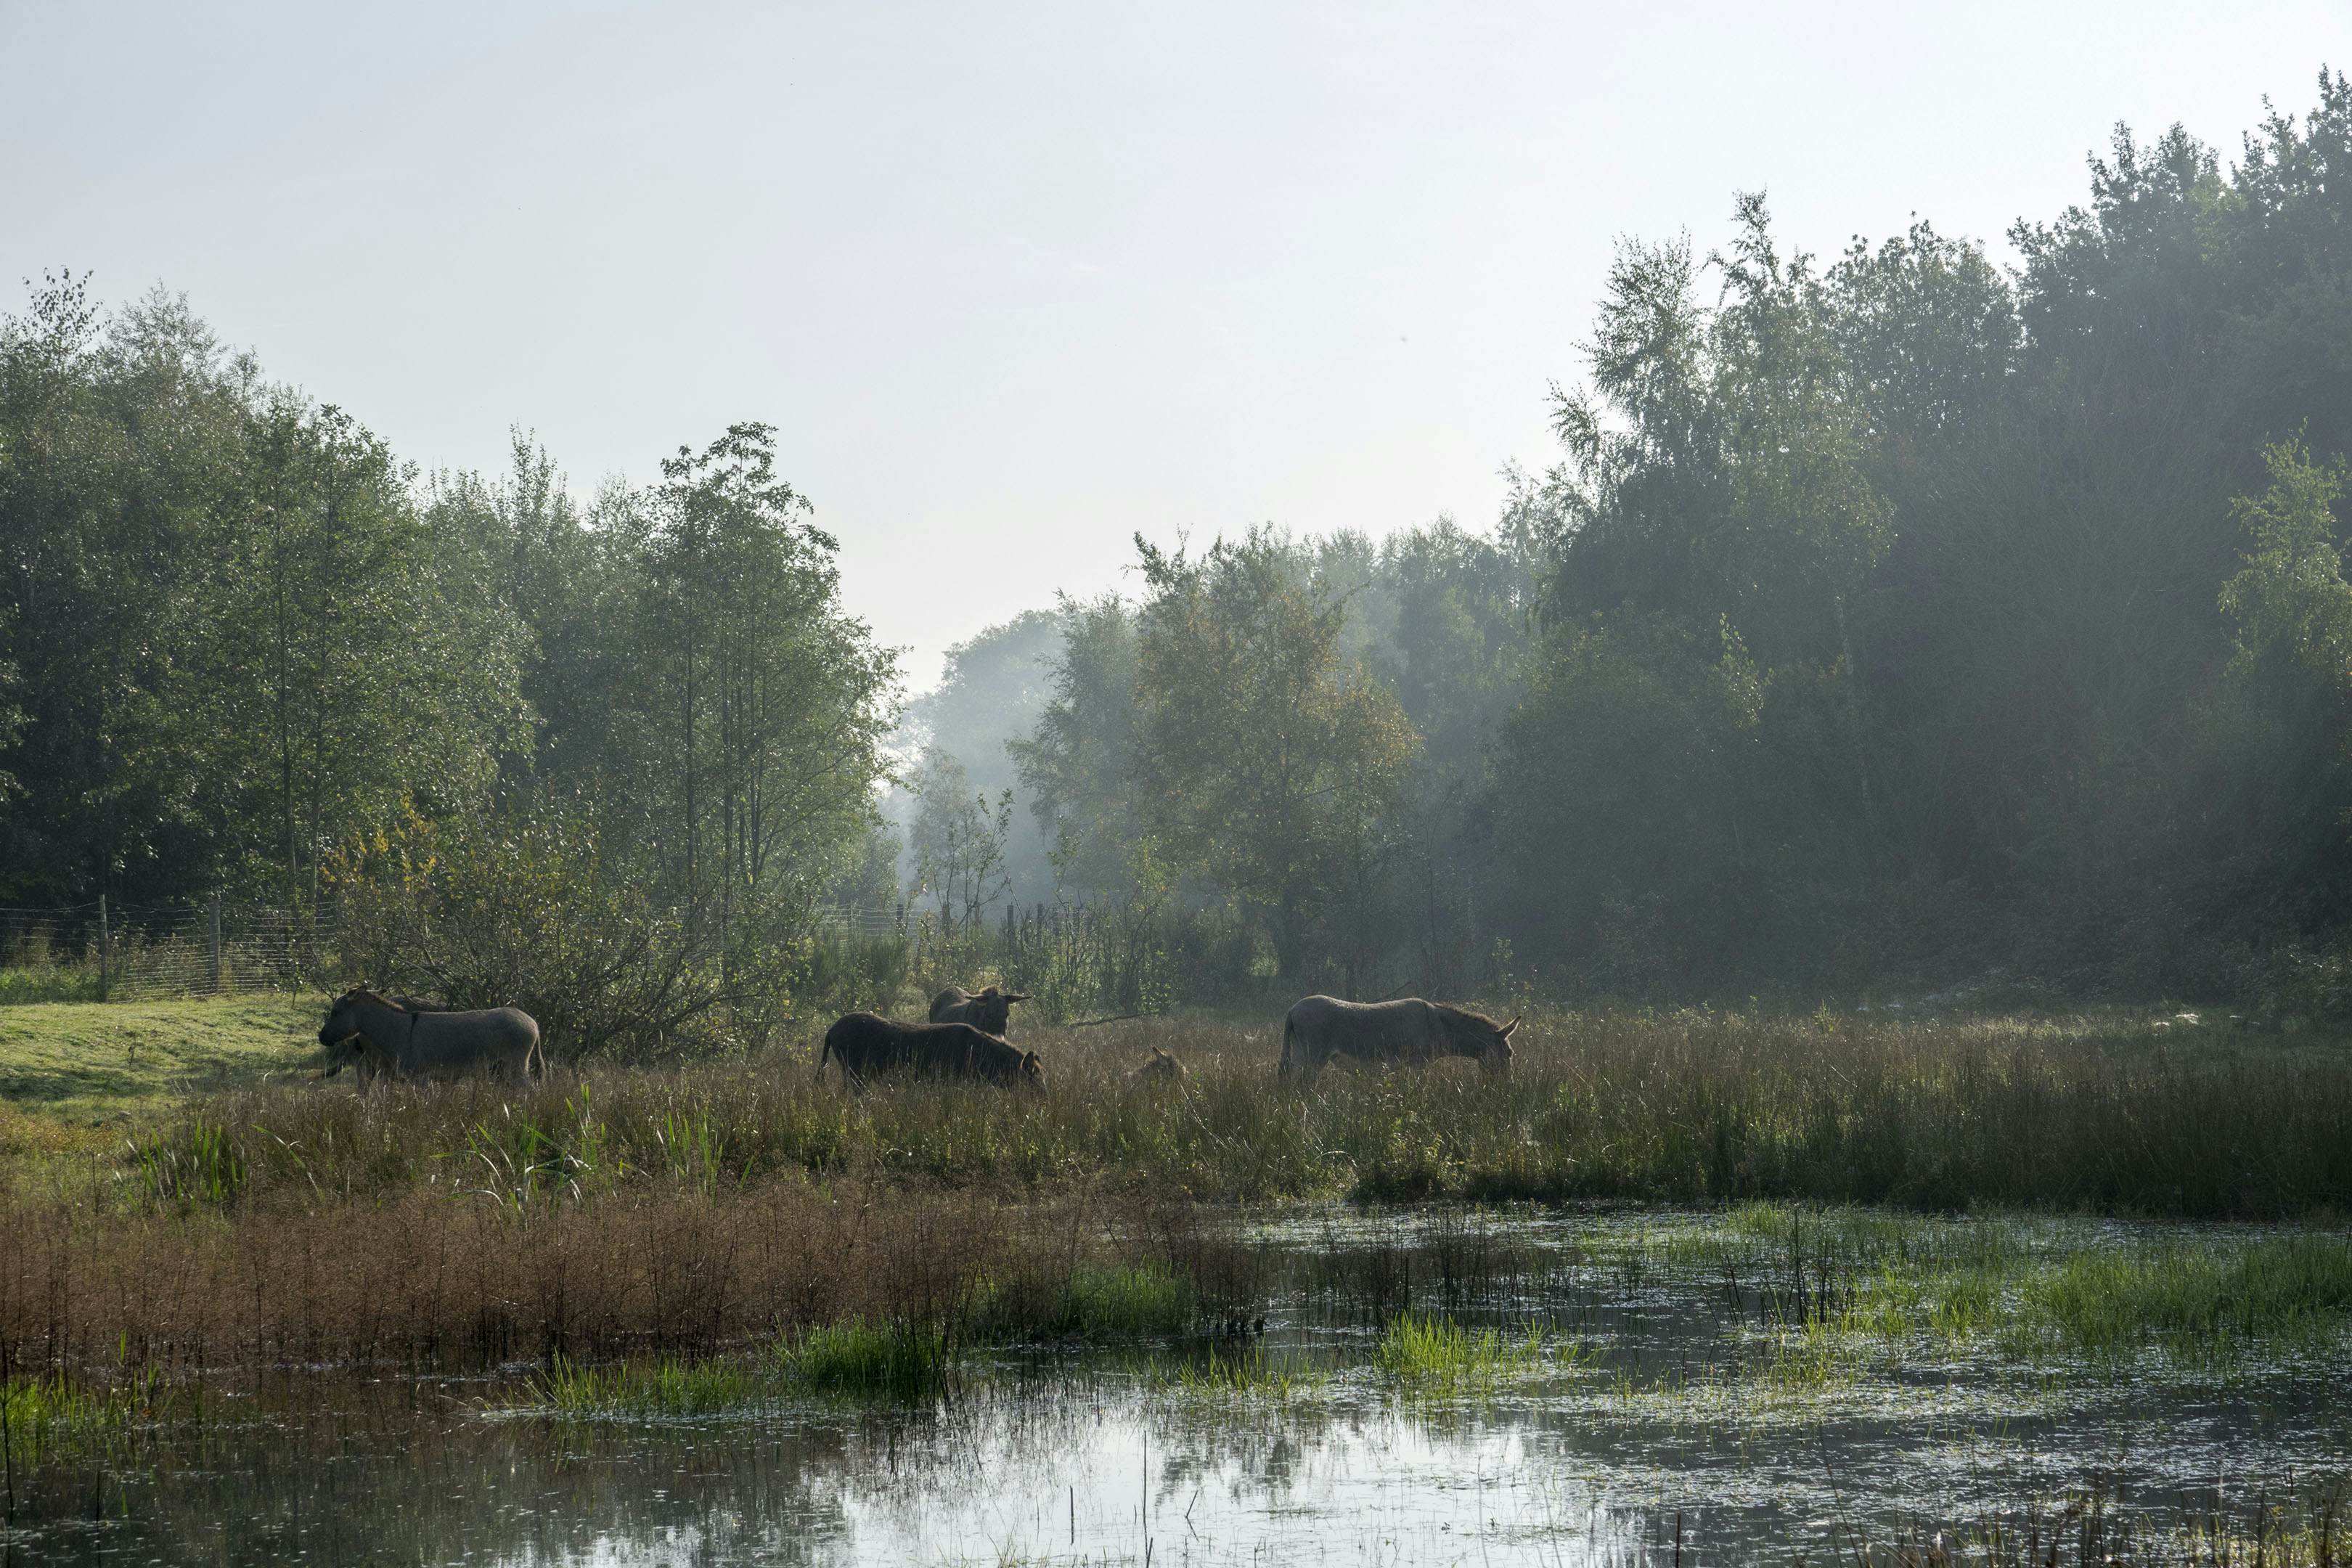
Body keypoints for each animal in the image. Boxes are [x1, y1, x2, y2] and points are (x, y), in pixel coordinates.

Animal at [318, 989, 543, 1086]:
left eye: (335, 1013)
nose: (321, 1037)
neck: (401, 1030)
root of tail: (533, 1022)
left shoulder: (421, 1077)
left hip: (516, 1063)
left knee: (528, 1091)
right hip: (502, 1066)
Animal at [1278, 995, 1517, 1083]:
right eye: (1510, 1053)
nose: (1507, 1087)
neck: (1437, 1024)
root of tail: (1293, 1009)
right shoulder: (1418, 1064)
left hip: (1299, 1055)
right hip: (1315, 1058)